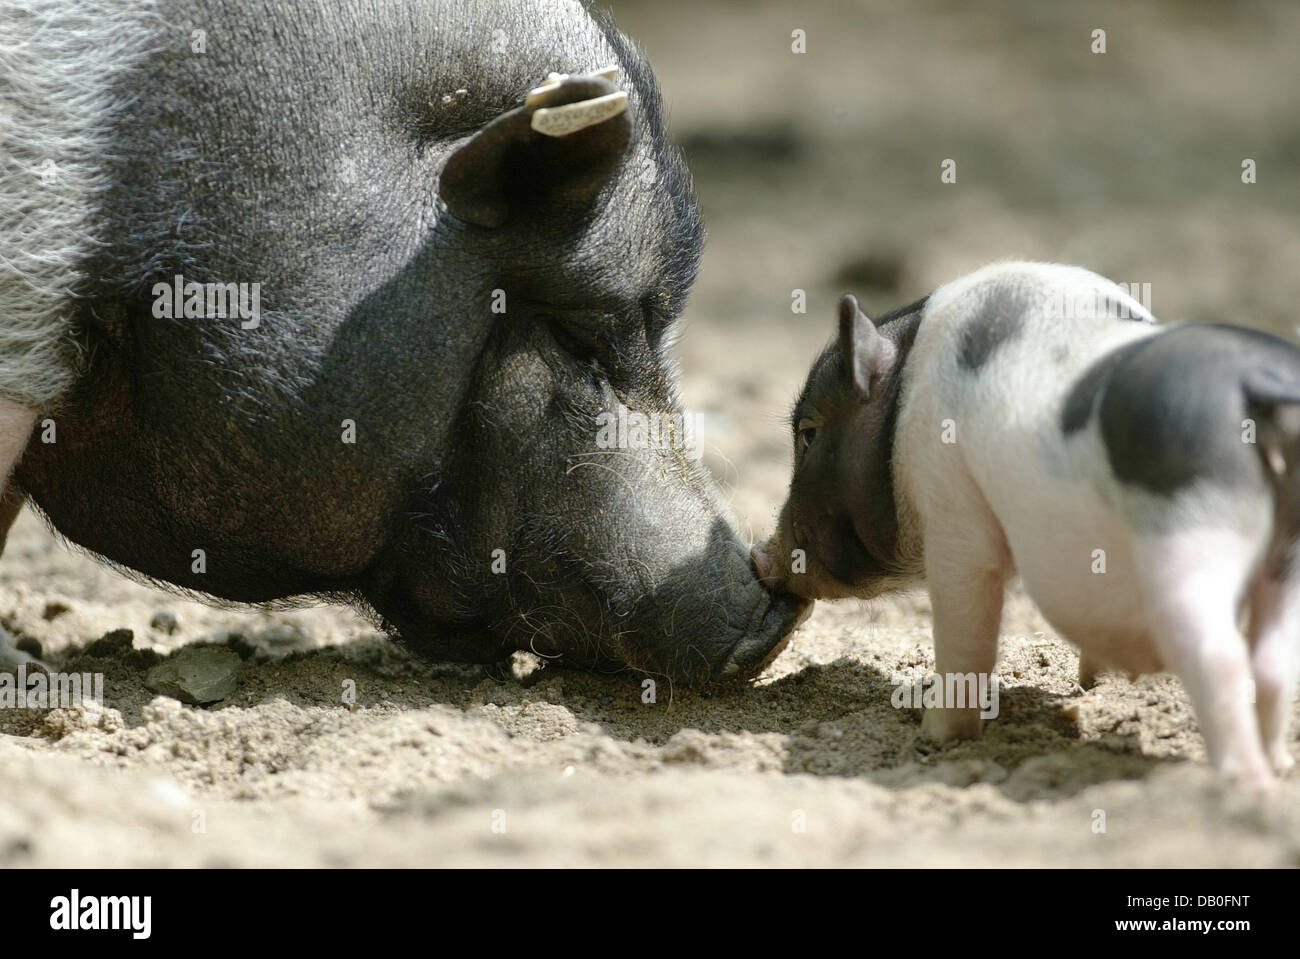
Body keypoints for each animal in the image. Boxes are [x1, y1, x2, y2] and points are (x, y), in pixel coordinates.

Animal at [755, 261, 1300, 790]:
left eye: (808, 433)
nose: (761, 556)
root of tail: (1258, 387)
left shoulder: (953, 511)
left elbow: (966, 635)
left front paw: (934, 737)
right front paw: (1090, 684)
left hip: (1192, 535)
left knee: (1221, 657)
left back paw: (1244, 789)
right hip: (1285, 557)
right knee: (1273, 664)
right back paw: (1277, 771)